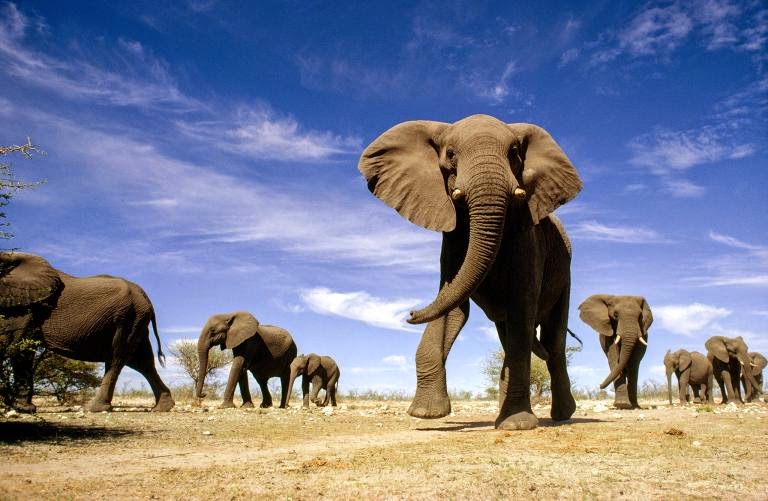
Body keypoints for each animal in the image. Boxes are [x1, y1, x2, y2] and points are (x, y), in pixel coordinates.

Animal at [0, 252, 174, 412]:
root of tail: (145, 296)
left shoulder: (26, 305)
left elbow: (15, 345)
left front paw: (21, 409)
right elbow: (20, 349)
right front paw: (24, 409)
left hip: (127, 318)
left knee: (117, 358)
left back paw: (93, 408)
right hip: (137, 321)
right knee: (142, 362)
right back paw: (162, 407)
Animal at [358, 114, 582, 430]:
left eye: (514, 154)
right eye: (451, 154)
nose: (410, 313)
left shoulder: (529, 238)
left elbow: (521, 310)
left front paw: (517, 425)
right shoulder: (452, 239)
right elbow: (451, 305)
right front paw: (426, 413)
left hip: (566, 272)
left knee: (553, 339)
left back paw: (561, 415)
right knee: (510, 335)